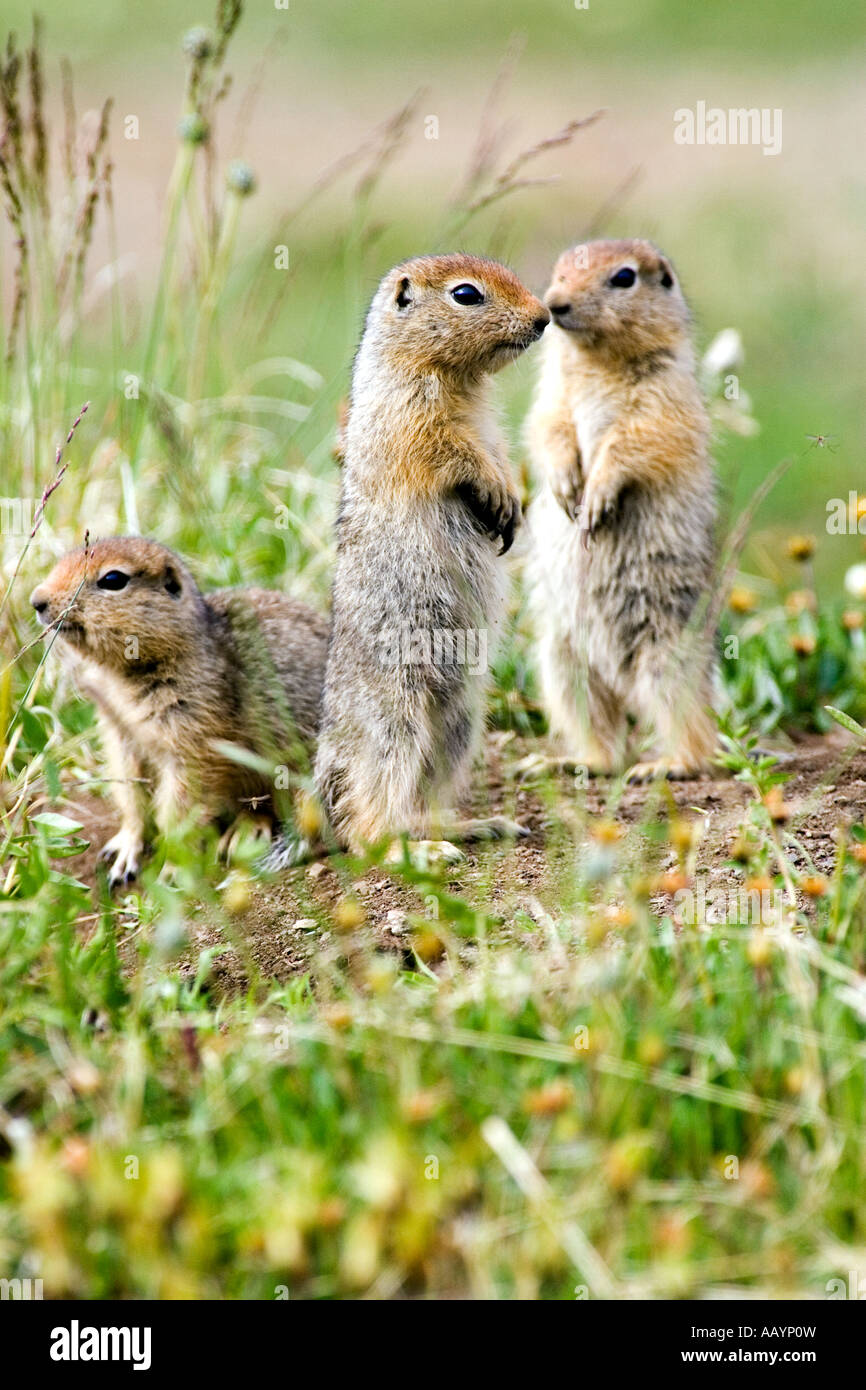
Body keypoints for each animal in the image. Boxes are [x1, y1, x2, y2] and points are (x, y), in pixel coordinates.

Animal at [30, 537, 329, 884]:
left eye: (113, 579)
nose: (36, 600)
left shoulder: (195, 736)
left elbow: (183, 804)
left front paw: (171, 868)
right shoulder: (119, 733)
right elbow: (131, 791)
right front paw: (125, 849)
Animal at [302, 253, 550, 859]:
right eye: (466, 294)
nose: (544, 318)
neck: (460, 381)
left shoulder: (489, 426)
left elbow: (497, 450)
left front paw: (511, 506)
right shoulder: (411, 418)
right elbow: (449, 450)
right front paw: (496, 493)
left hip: (459, 724)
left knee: (416, 804)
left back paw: (470, 826)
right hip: (396, 720)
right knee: (365, 830)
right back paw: (421, 850)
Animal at [525, 238, 718, 781]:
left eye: (624, 278)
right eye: (559, 269)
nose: (554, 304)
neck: (597, 361)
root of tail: (618, 675)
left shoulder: (664, 394)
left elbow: (638, 439)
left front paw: (595, 499)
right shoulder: (553, 392)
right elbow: (547, 424)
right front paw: (565, 485)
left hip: (668, 656)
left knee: (695, 731)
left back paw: (666, 767)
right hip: (561, 661)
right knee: (604, 738)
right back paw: (566, 762)